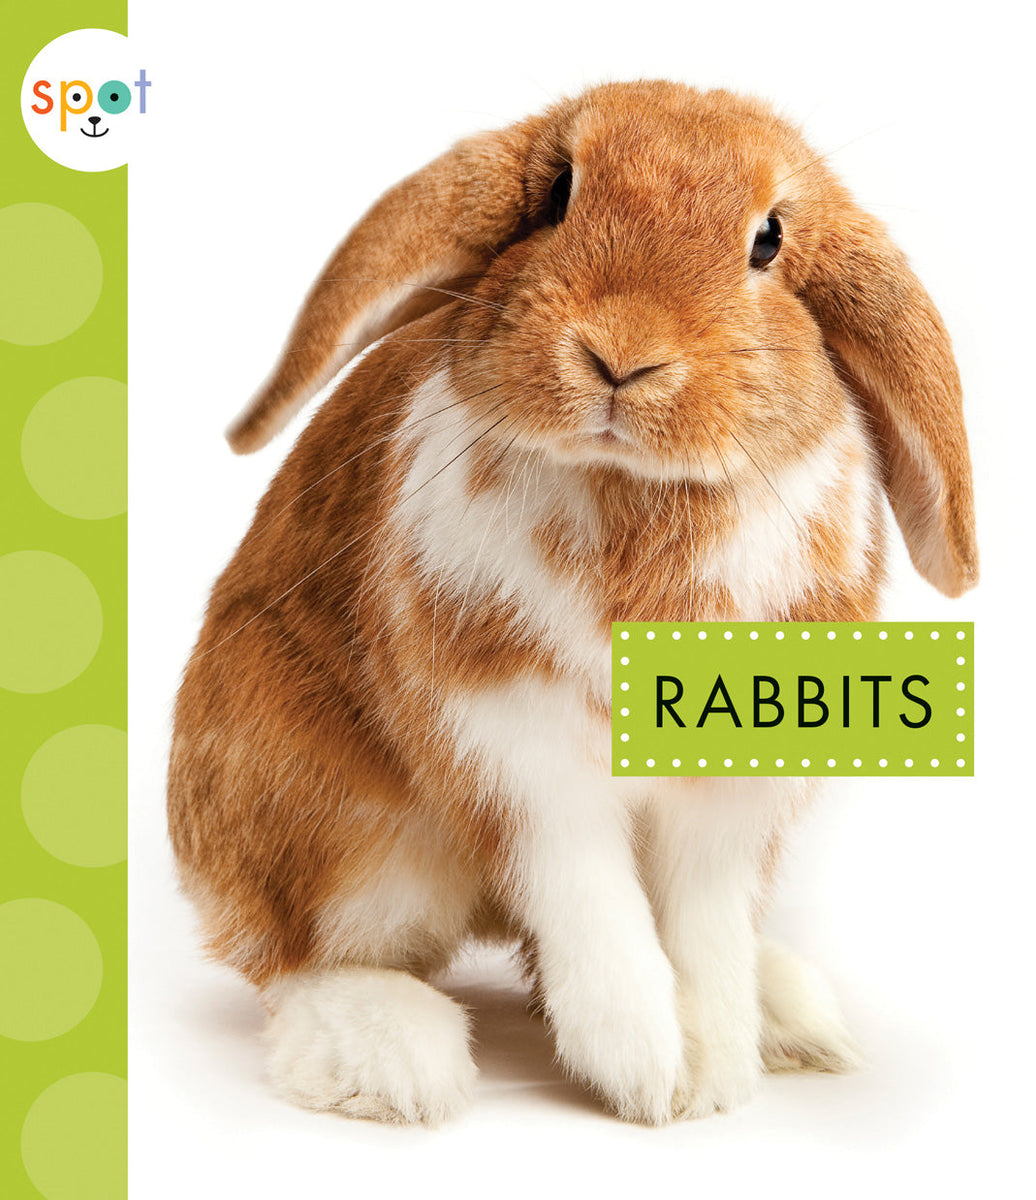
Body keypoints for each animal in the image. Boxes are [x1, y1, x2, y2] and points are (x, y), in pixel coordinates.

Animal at [168, 79, 977, 1126]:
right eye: (557, 194)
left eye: (768, 241)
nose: (621, 355)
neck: (631, 487)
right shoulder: (520, 752)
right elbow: (595, 905)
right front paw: (646, 1068)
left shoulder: (734, 796)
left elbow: (703, 928)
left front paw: (711, 1071)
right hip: (339, 824)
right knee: (298, 958)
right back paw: (391, 1056)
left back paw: (789, 1016)